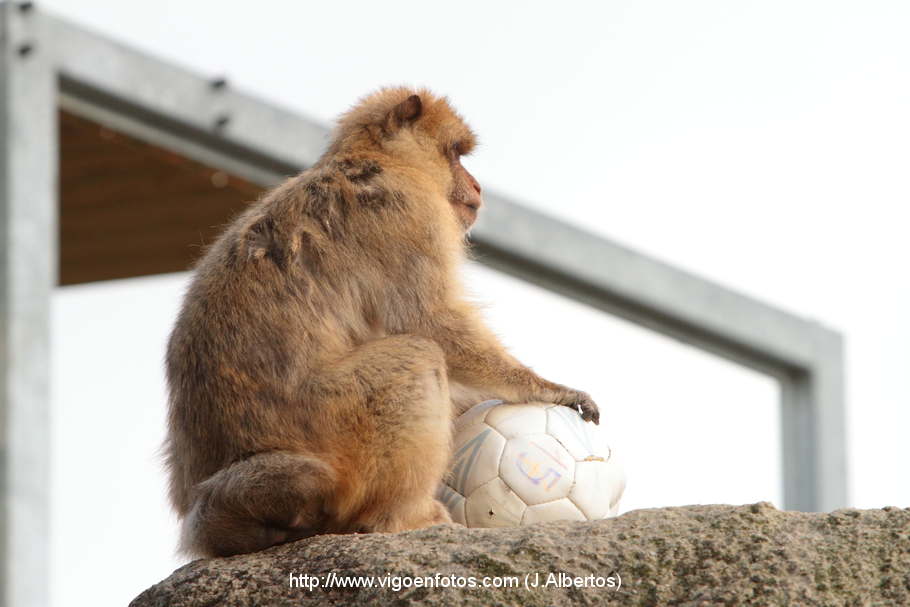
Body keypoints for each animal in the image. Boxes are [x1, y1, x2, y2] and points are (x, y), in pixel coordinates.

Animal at [164, 87, 601, 559]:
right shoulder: (410, 213)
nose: (476, 185)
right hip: (329, 425)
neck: (380, 161)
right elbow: (431, 320)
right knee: (416, 355)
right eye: (455, 153)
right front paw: (548, 389)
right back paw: (400, 518)